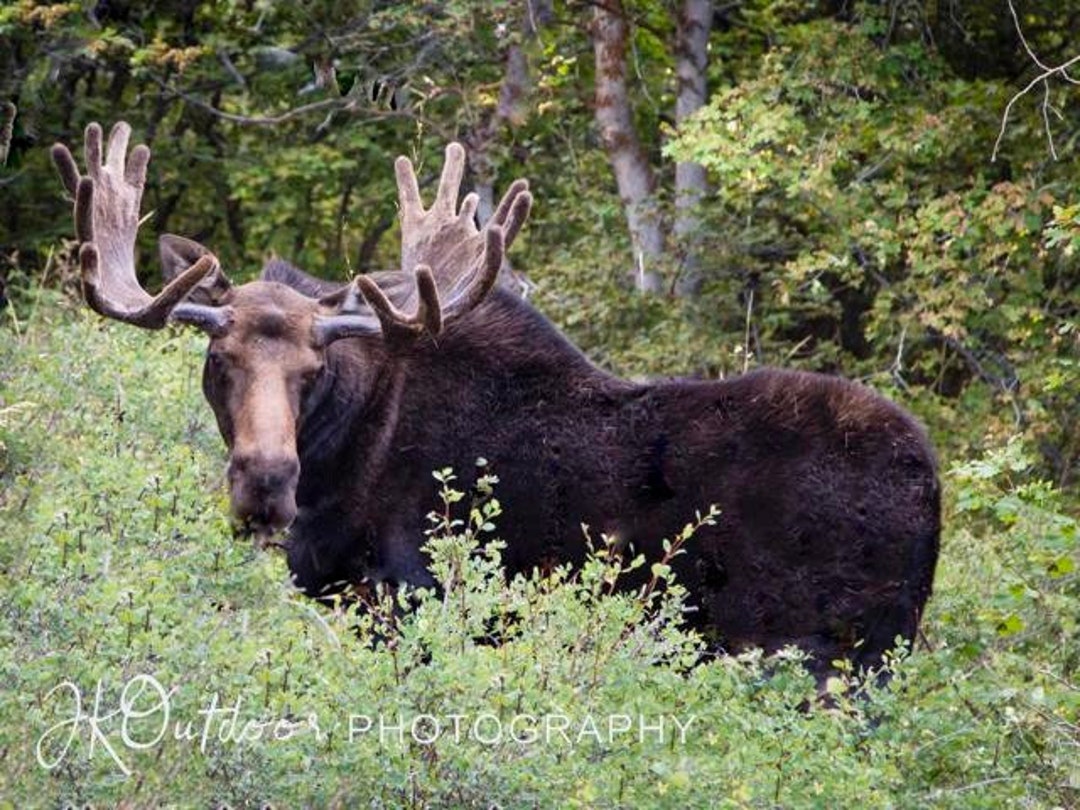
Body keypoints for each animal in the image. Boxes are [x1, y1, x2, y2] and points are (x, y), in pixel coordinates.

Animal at [52, 122, 940, 678]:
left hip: (814, 651)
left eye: (314, 365)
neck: (341, 459)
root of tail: (933, 491)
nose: (266, 481)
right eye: (218, 357)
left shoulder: (409, 601)